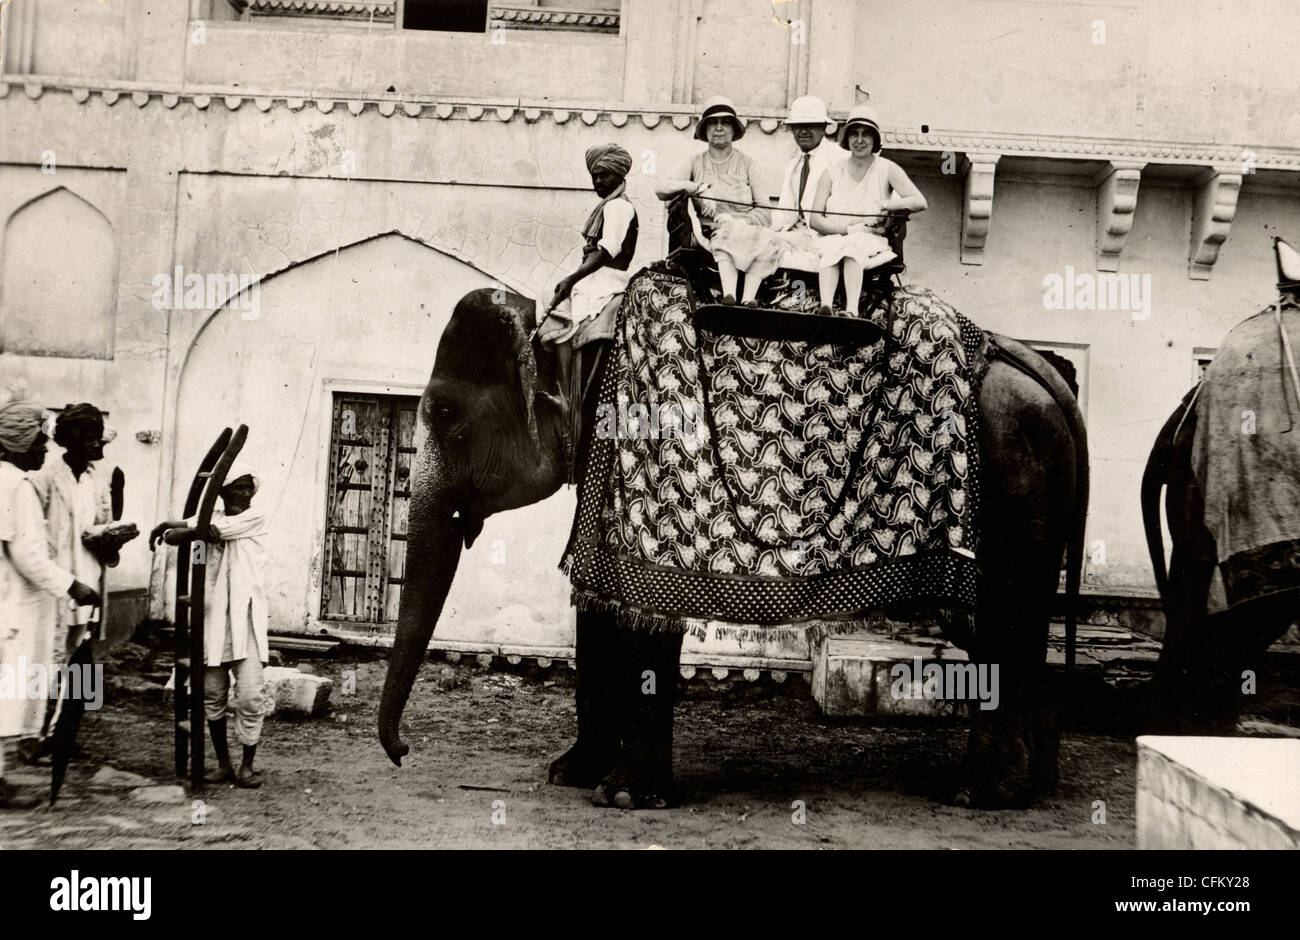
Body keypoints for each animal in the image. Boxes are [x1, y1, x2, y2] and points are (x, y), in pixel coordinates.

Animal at [378, 274, 1089, 810]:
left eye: (445, 416)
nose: (404, 752)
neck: (571, 338)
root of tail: (1035, 366)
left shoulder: (654, 450)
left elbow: (643, 610)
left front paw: (624, 798)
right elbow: (599, 601)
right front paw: (568, 776)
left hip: (1014, 481)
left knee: (999, 622)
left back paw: (982, 794)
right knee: (1003, 629)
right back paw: (1032, 784)